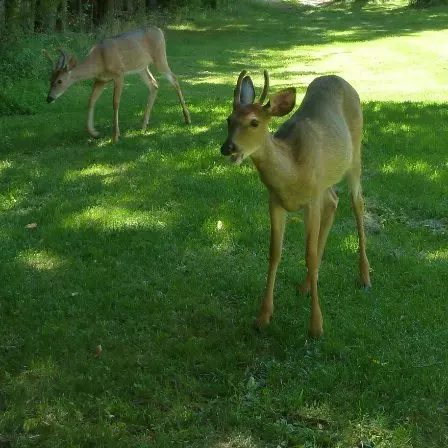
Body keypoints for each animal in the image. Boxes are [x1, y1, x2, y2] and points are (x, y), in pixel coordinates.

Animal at [43, 26, 192, 142]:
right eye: (50, 79)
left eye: (60, 81)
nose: (49, 98)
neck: (100, 61)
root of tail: (159, 30)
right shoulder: (100, 80)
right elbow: (91, 100)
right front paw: (94, 132)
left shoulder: (119, 74)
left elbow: (115, 102)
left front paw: (115, 136)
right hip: (141, 67)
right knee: (154, 84)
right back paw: (144, 125)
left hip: (160, 57)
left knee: (174, 79)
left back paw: (187, 118)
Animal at [220, 70, 372, 338]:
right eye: (229, 119)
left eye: (254, 122)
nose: (227, 148)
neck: (292, 171)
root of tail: (339, 78)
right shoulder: (275, 202)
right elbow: (274, 253)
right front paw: (263, 317)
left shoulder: (311, 202)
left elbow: (309, 255)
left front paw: (316, 326)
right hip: (325, 181)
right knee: (333, 200)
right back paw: (307, 285)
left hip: (355, 154)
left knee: (357, 203)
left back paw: (364, 276)